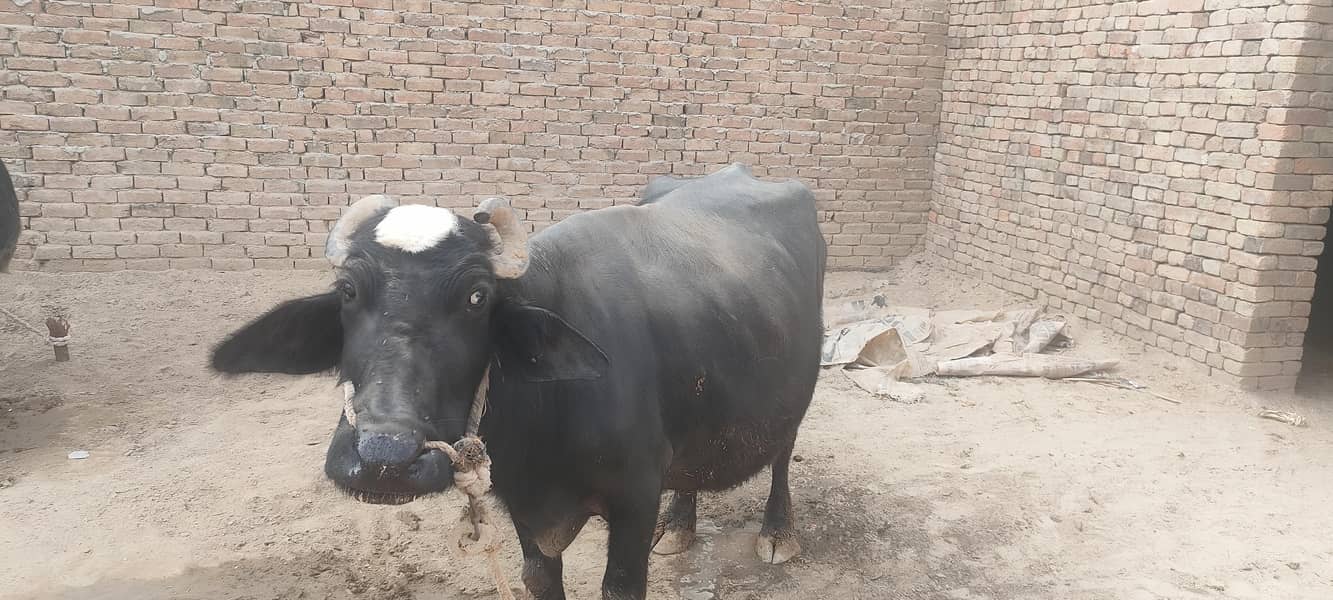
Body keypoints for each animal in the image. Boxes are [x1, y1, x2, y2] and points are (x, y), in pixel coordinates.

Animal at [210, 163, 828, 600]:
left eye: (476, 298)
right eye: (346, 291)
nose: (385, 457)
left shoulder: (635, 496)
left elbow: (620, 587)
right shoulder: (527, 517)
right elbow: (540, 580)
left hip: (796, 390)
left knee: (783, 452)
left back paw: (777, 533)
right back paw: (678, 527)